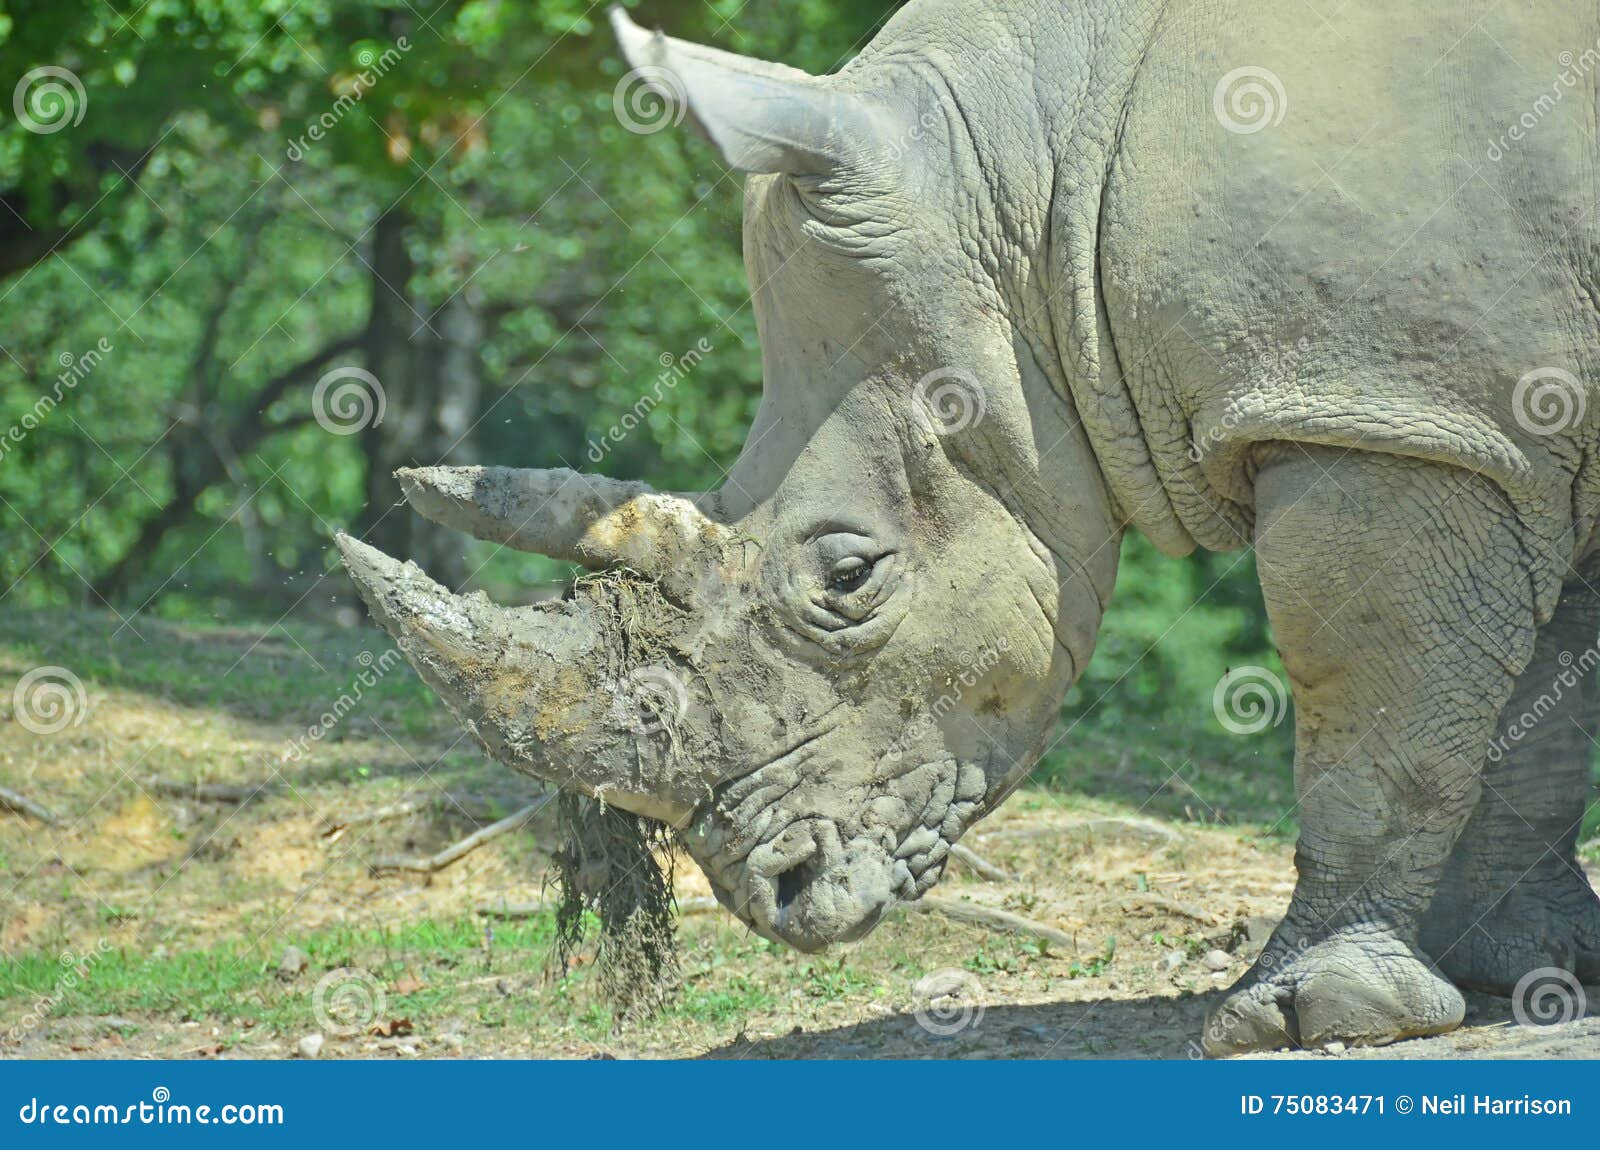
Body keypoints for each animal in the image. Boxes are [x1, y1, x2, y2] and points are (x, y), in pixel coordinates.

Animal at [337, 0, 1600, 1054]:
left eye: (848, 575)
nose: (780, 893)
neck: (1037, 185)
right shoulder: (1506, 423)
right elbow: (1532, 711)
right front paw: (1532, 970)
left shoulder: (1386, 413)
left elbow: (1375, 711)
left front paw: (1313, 1015)